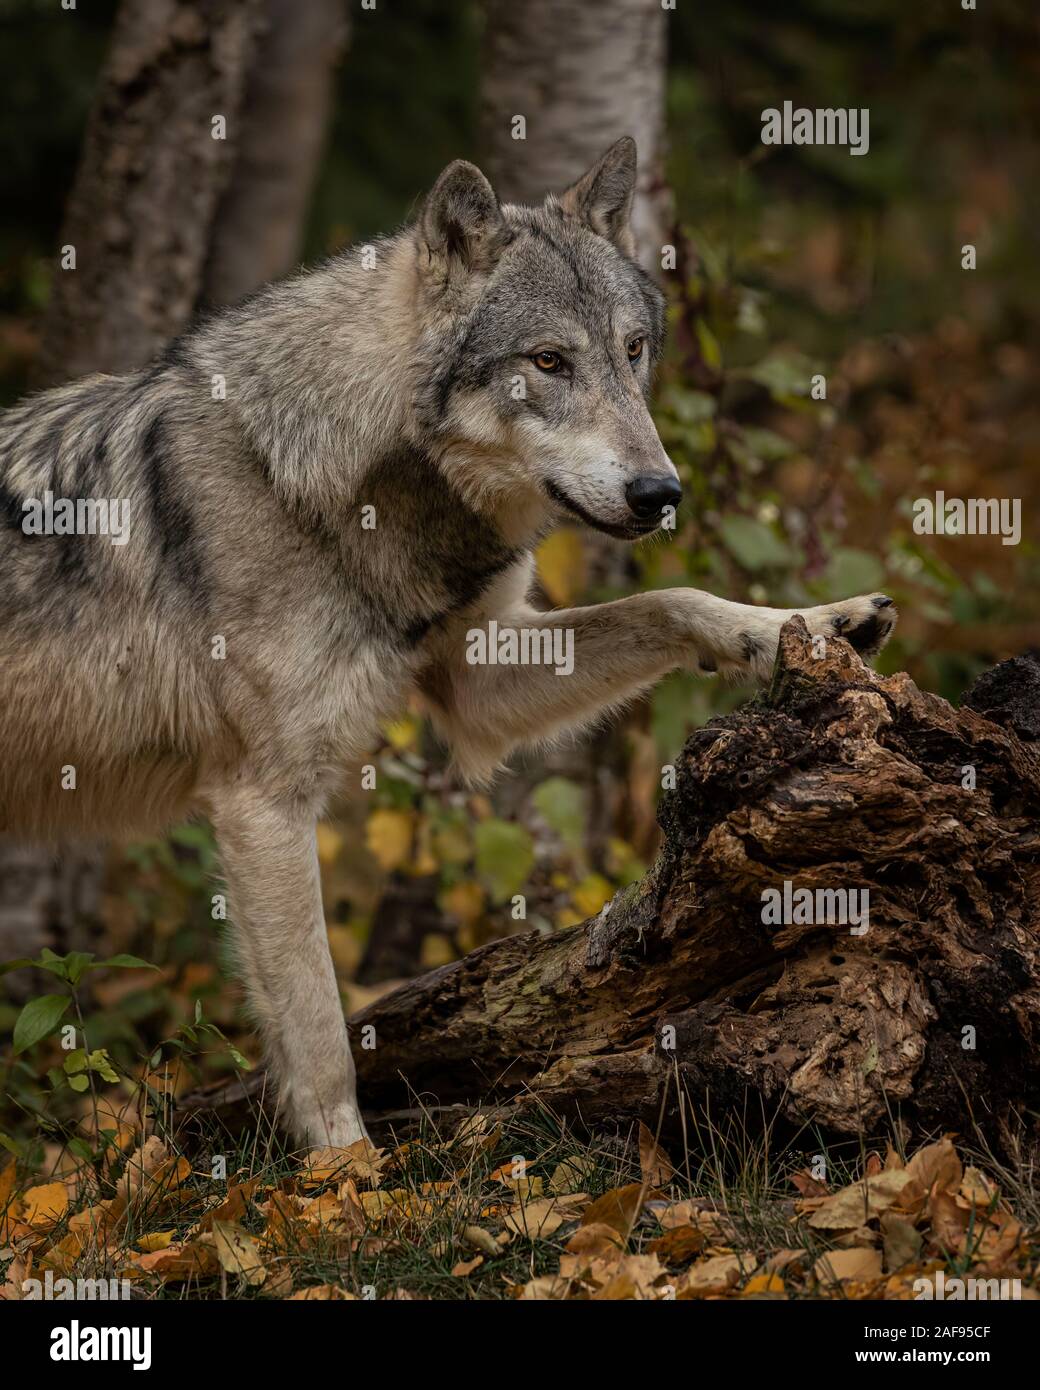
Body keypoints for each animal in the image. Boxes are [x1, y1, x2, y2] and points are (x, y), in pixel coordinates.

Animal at [0, 138, 896, 1146]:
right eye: (548, 361)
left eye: (632, 351)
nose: (661, 494)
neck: (320, 484)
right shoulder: (263, 804)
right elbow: (320, 1035)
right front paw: (349, 1179)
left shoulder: (477, 678)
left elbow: (672, 599)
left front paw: (802, 628)